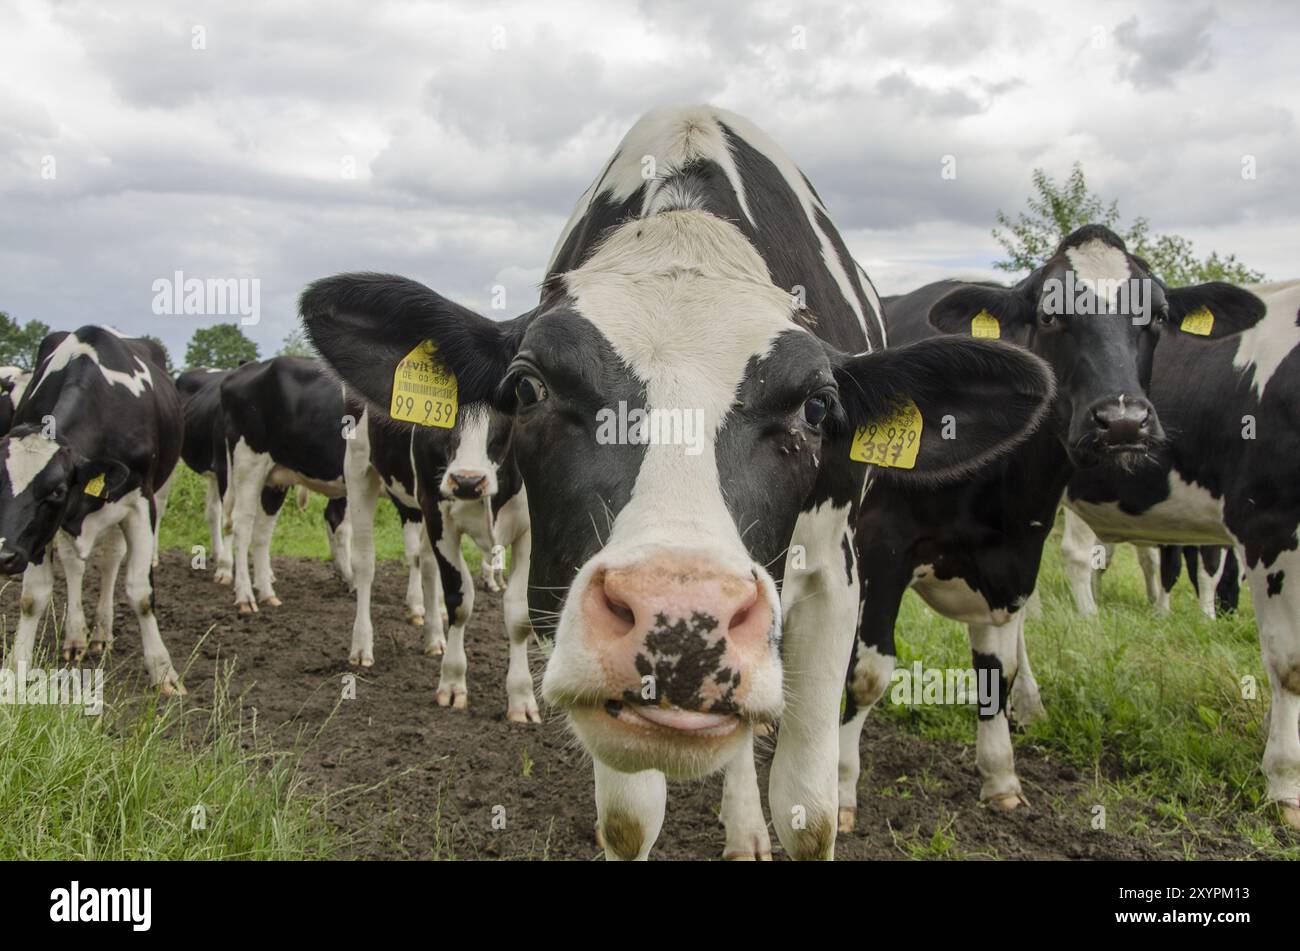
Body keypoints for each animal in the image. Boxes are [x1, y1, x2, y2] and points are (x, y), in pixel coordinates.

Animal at [0, 326, 184, 690]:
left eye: (56, 491)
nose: (3, 555)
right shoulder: (39, 532)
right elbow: (32, 597)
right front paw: (15, 670)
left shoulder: (140, 503)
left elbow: (141, 593)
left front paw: (163, 672)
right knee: (75, 565)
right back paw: (76, 637)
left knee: (112, 559)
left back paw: (101, 633)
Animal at [220, 356, 353, 612]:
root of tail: (248, 366)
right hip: (248, 463)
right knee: (242, 525)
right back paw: (245, 597)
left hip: (274, 479)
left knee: (261, 533)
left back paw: (267, 593)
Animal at [300, 104, 1055, 860]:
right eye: (528, 386)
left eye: (816, 407)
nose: (682, 622)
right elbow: (630, 819)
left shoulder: (837, 578)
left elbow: (808, 812)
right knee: (367, 557)